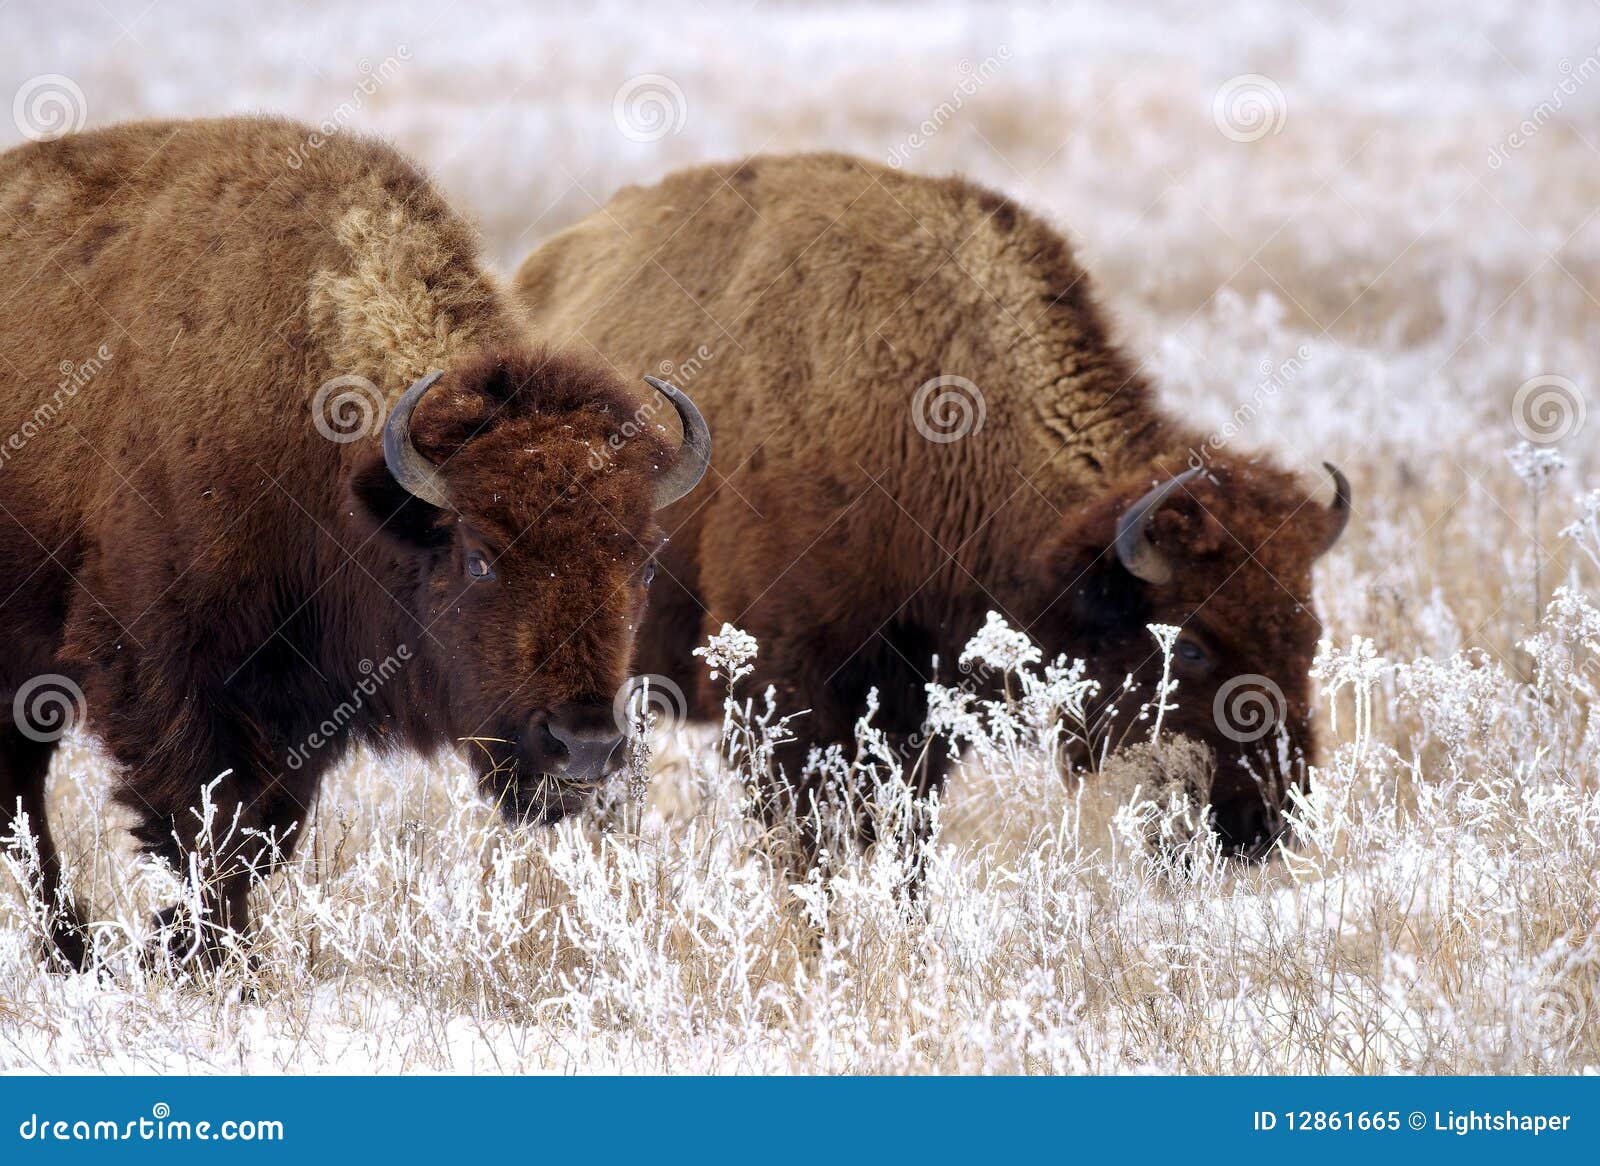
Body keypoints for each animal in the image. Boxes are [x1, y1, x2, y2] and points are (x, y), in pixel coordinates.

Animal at [0, 116, 708, 967]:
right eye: (479, 556)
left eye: (643, 564)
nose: (585, 749)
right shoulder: (164, 671)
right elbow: (202, 827)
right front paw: (205, 960)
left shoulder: (298, 709)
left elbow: (260, 836)